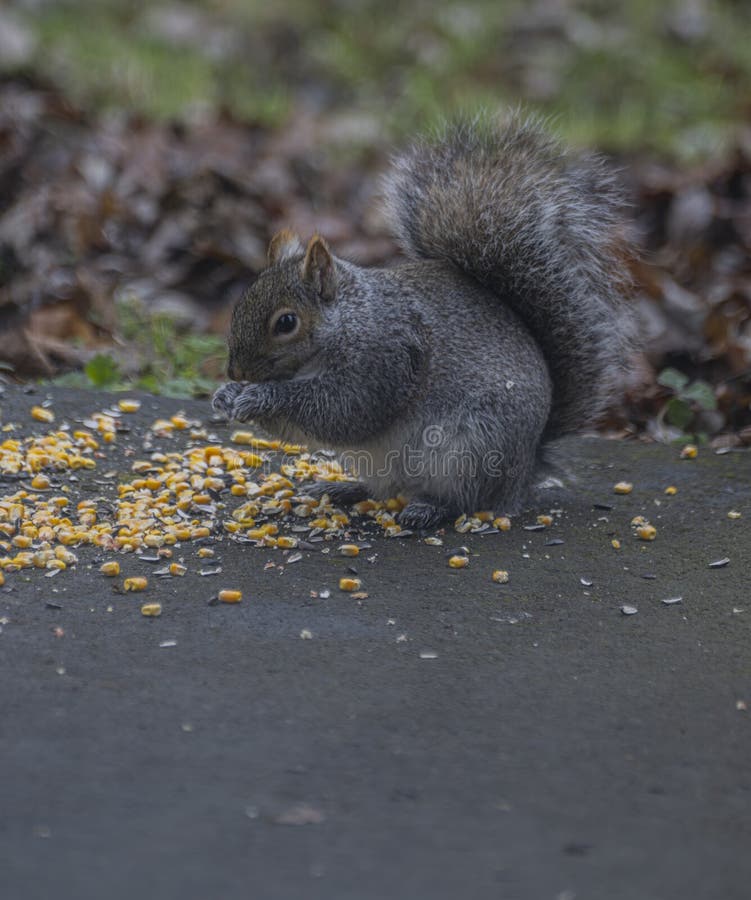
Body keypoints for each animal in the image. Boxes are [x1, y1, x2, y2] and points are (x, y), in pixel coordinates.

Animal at [212, 111, 634, 529]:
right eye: (241, 303)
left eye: (286, 323)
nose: (235, 372)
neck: (350, 320)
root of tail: (525, 468)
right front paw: (227, 396)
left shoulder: (385, 360)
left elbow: (341, 411)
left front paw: (261, 396)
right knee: (386, 488)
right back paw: (344, 489)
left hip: (473, 450)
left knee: (466, 499)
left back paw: (429, 509)